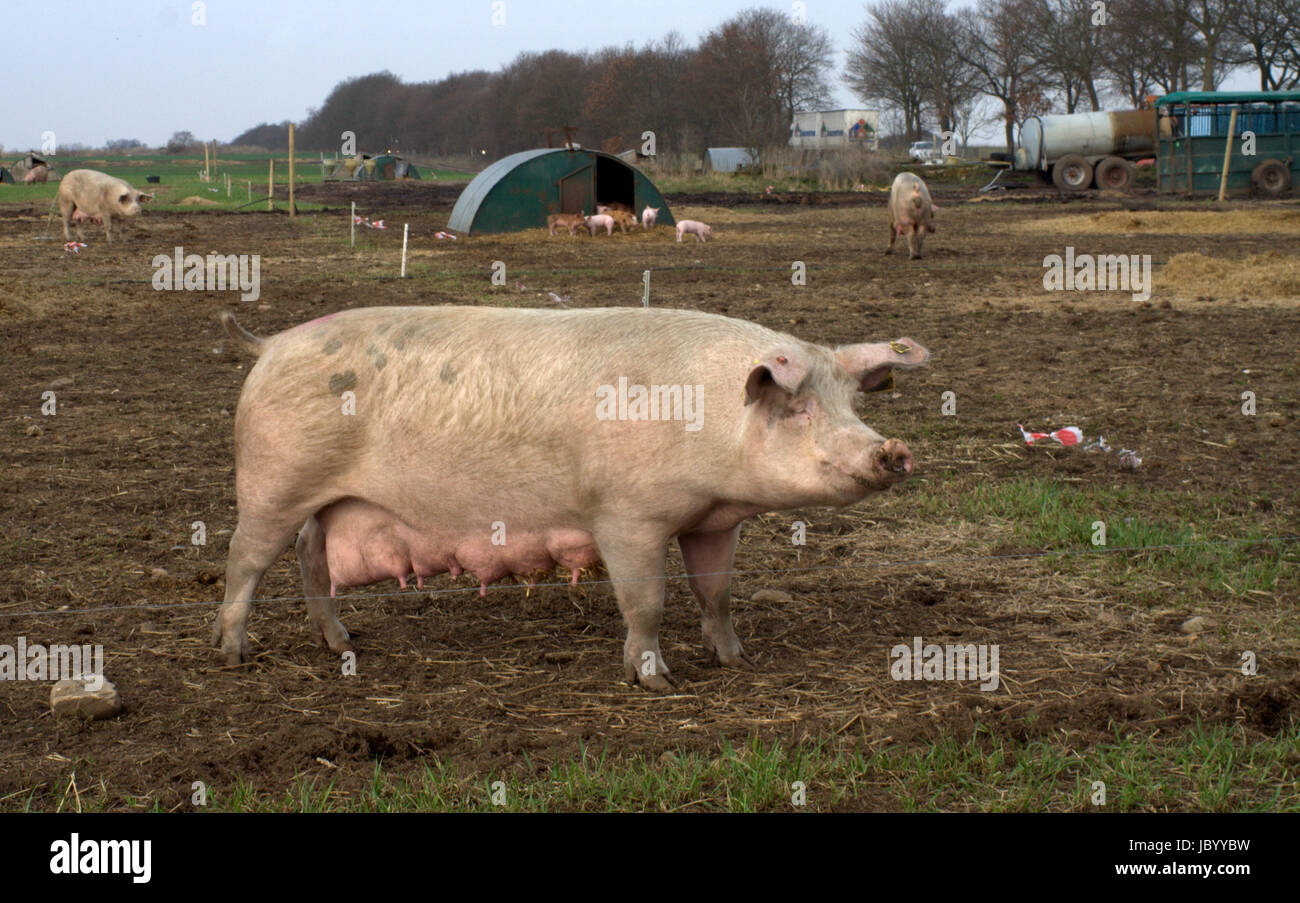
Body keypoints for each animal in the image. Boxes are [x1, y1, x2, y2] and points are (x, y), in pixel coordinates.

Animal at [213, 306, 929, 691]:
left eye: (852, 402)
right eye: (799, 407)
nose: (891, 450)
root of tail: (271, 343)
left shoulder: (712, 523)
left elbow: (716, 593)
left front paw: (735, 659)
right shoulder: (627, 517)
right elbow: (647, 603)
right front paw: (658, 681)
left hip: (327, 500)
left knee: (311, 554)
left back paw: (342, 643)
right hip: (273, 482)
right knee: (244, 558)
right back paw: (232, 654)